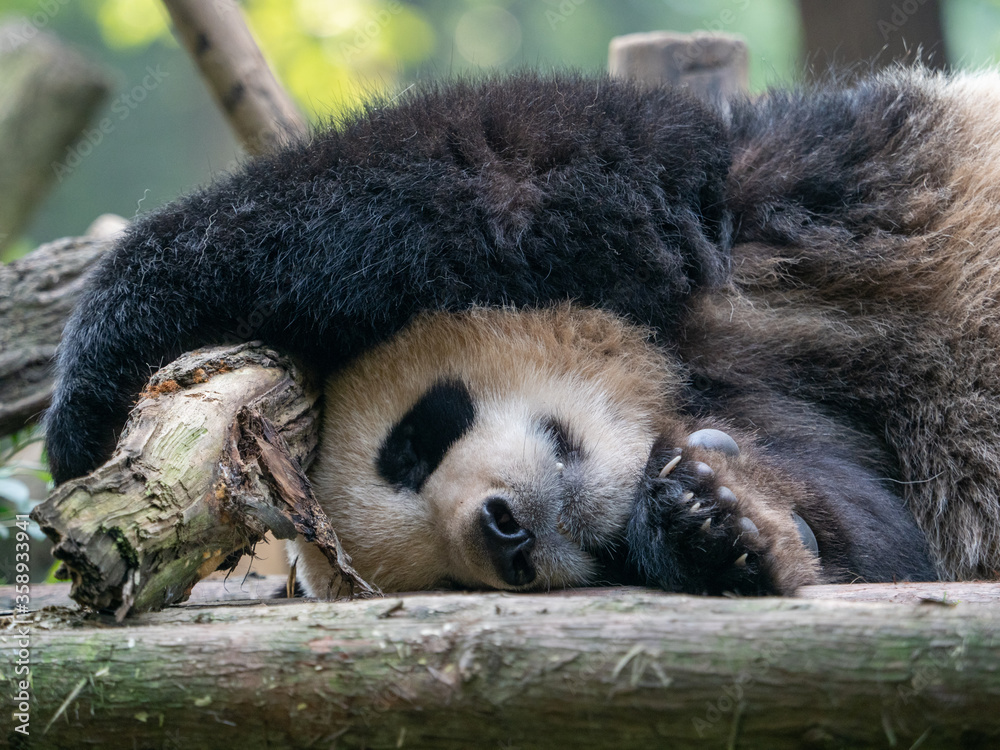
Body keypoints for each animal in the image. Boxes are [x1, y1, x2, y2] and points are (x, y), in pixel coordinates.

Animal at [45, 68, 1000, 596]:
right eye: (443, 577)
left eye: (412, 445)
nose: (501, 533)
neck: (682, 367)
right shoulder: (797, 434)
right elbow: (874, 537)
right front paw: (719, 525)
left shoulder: (698, 200)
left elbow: (496, 167)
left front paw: (87, 403)